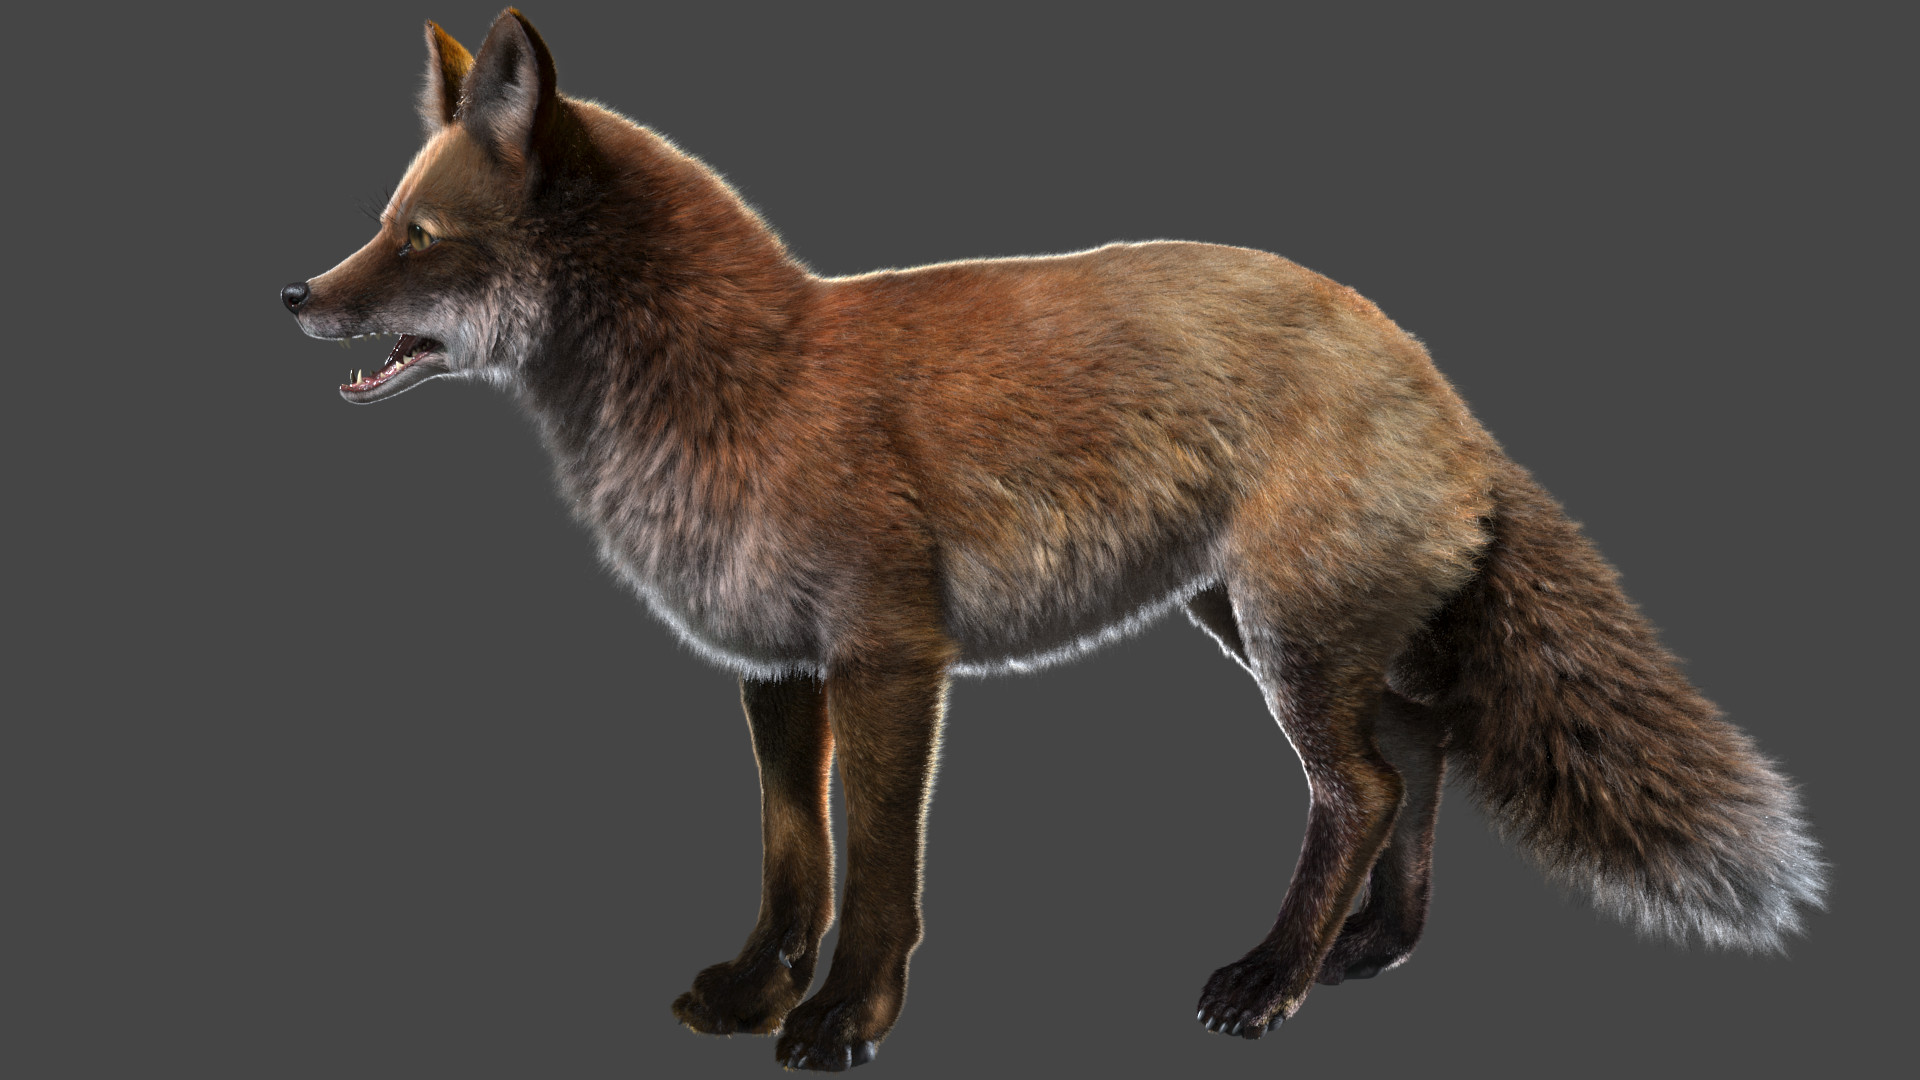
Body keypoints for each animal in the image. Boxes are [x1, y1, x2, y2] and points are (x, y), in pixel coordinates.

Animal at [282, 9, 1825, 1072]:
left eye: (418, 238)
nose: (295, 295)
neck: (738, 382)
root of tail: (1428, 369)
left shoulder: (893, 659)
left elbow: (877, 871)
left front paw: (845, 1018)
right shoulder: (773, 670)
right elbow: (792, 861)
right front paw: (757, 990)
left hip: (1284, 640)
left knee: (1369, 787)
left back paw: (1272, 977)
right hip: (1263, 626)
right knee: (1422, 749)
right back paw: (1374, 948)